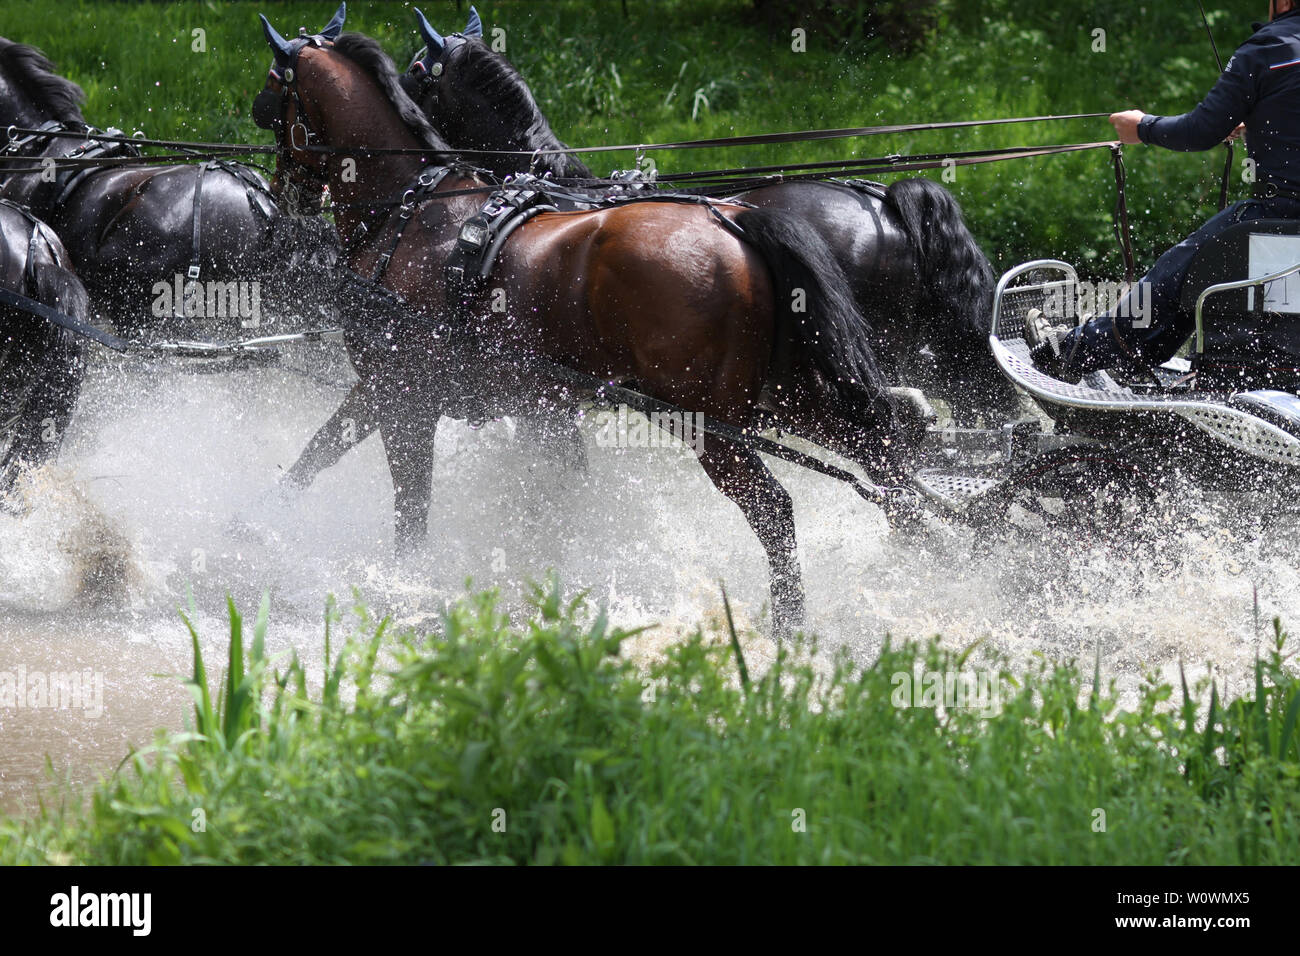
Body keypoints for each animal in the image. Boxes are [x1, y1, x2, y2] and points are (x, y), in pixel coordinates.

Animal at [253, 9, 915, 635]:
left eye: (273, 93)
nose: (277, 194)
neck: (413, 211)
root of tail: (735, 220)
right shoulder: (489, 404)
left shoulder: (400, 395)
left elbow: (394, 493)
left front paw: (397, 580)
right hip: (790, 398)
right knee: (887, 452)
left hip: (706, 422)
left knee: (776, 509)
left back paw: (790, 622)